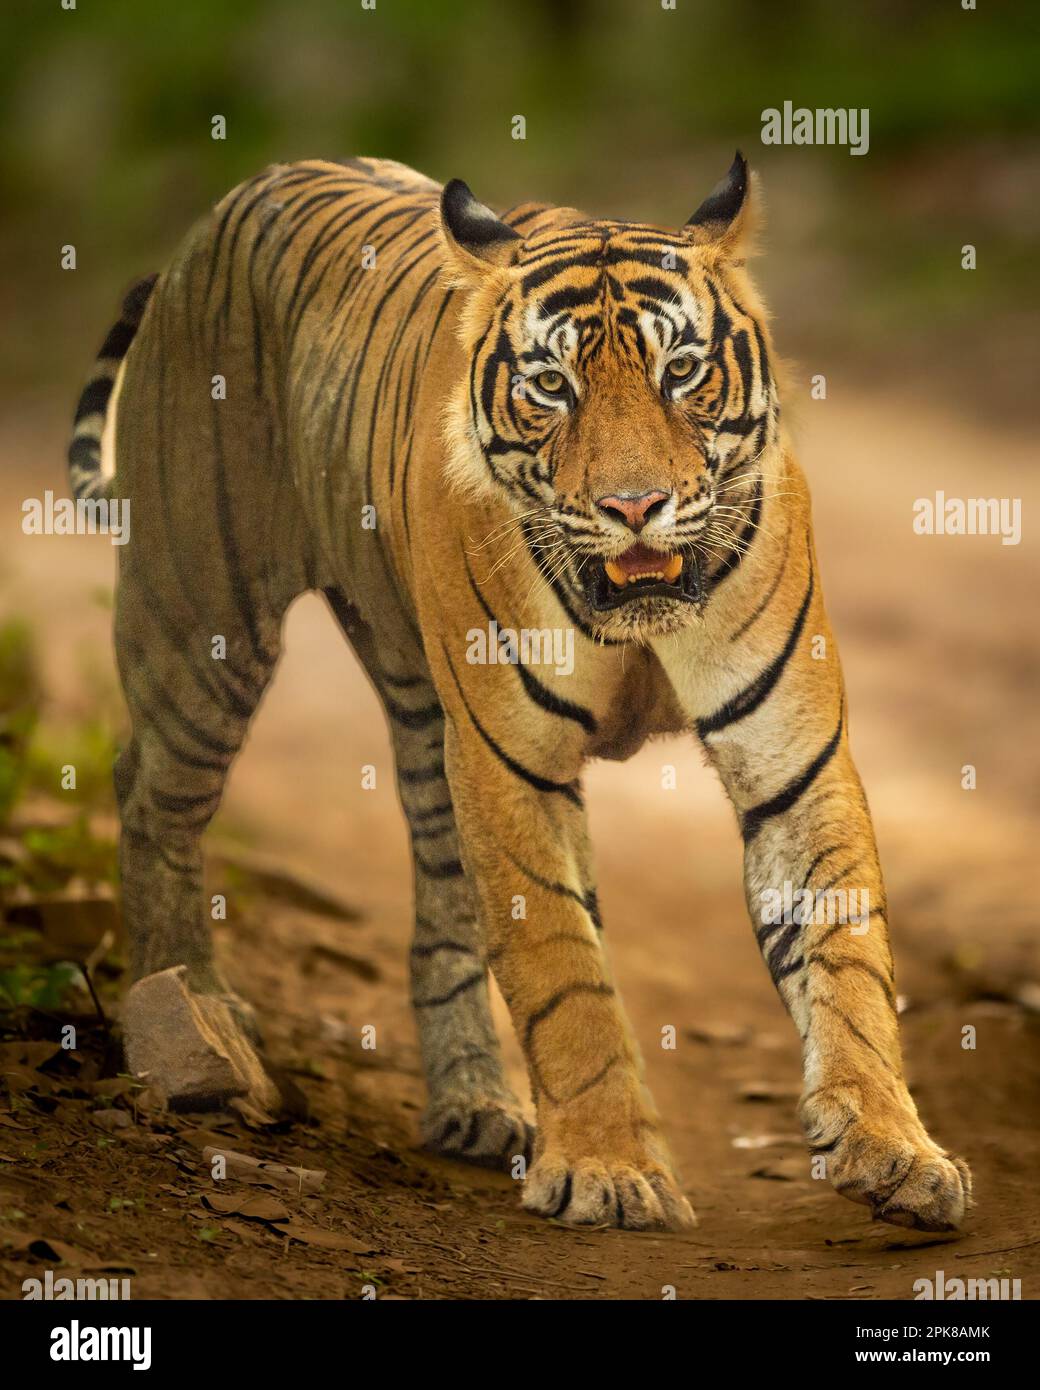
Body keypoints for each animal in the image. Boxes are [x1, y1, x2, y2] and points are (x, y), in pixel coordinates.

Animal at [68, 152, 971, 1233]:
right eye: (551, 385)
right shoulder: (511, 764)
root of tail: (249, 188)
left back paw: (471, 1102)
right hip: (204, 623)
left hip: (419, 709)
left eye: (680, 371)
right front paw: (608, 1169)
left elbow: (848, 960)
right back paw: (197, 1014)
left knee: (438, 898)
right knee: (150, 796)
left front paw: (892, 1150)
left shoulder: (791, 757)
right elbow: (561, 971)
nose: (633, 506)